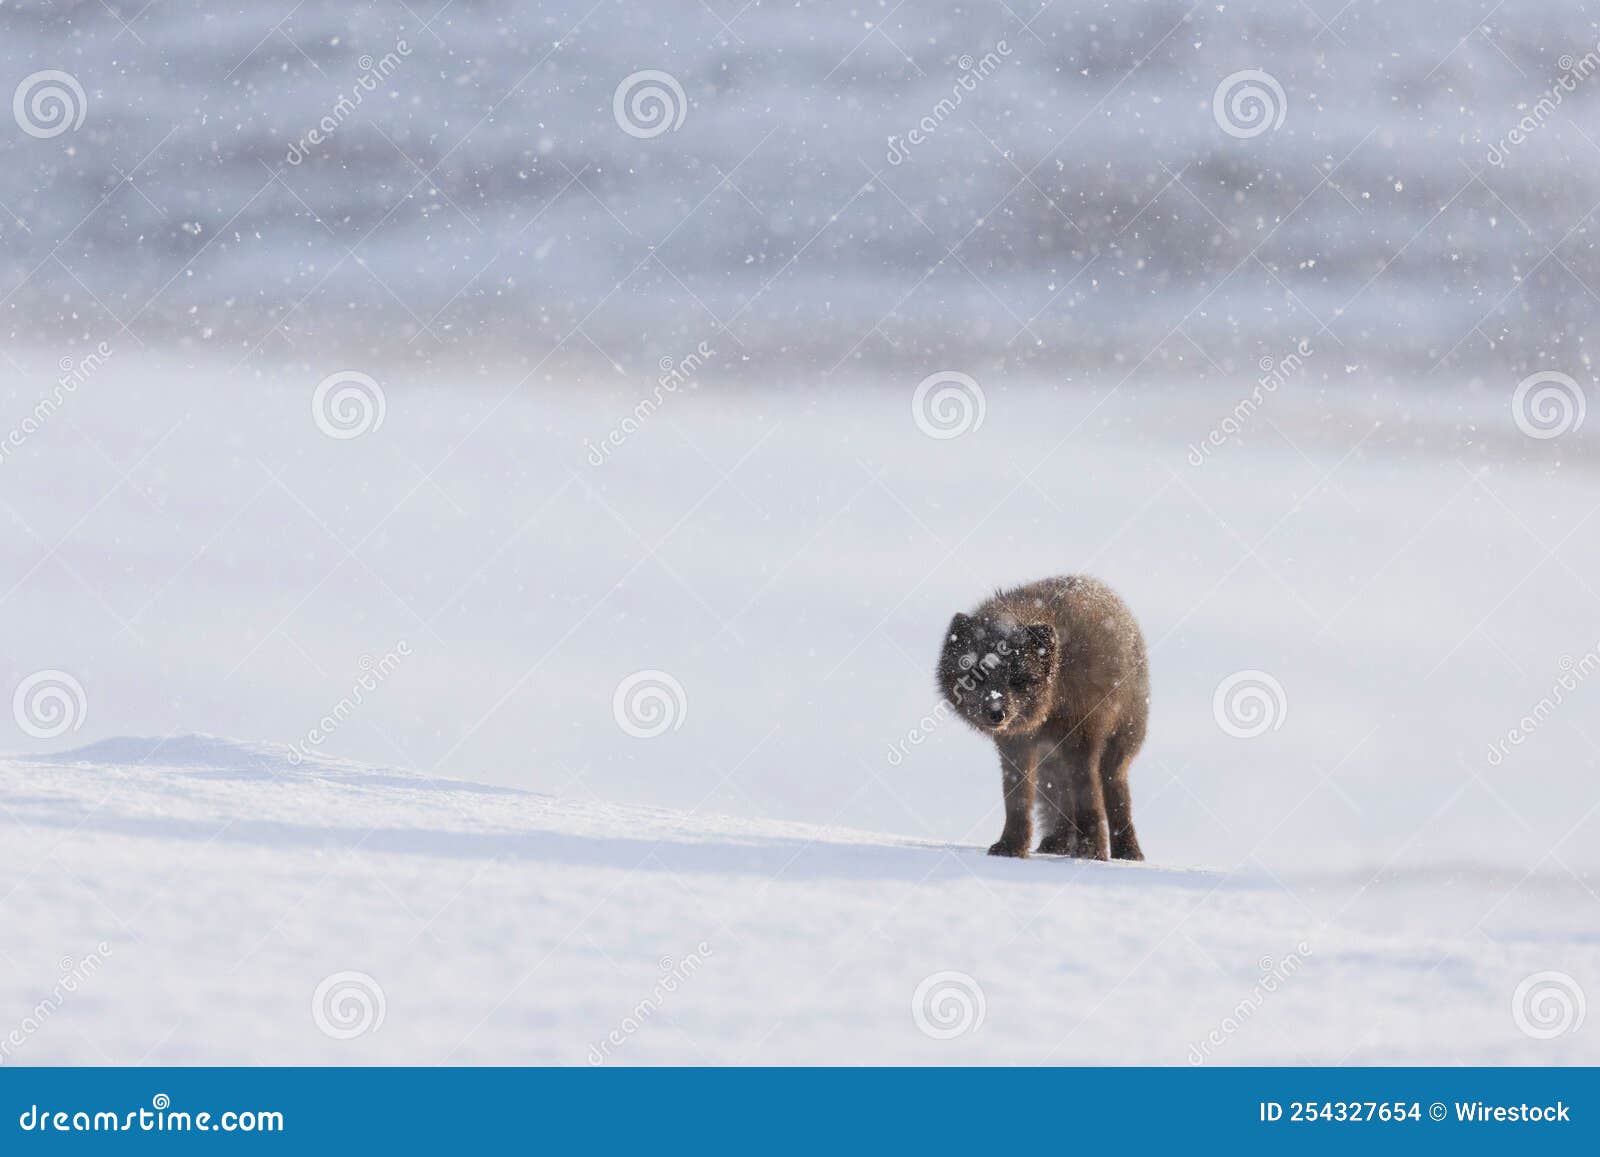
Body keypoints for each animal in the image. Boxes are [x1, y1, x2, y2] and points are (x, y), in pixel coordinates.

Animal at [936, 575, 1149, 861]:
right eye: (975, 675)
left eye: (1019, 679)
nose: (996, 713)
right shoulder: (1015, 745)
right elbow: (1017, 799)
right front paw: (1011, 847)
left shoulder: (1082, 740)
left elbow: (1088, 799)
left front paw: (1091, 853)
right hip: (1051, 762)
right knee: (1062, 796)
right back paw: (1057, 844)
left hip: (1116, 750)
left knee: (1115, 792)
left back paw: (1127, 851)